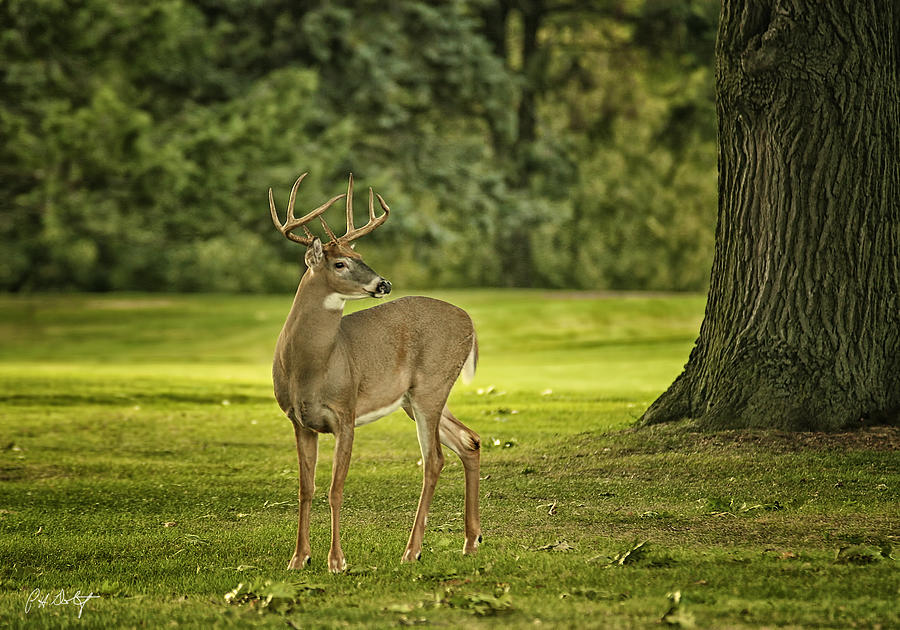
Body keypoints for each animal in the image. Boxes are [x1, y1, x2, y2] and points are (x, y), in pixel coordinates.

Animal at [268, 172, 482, 573]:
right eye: (340, 263)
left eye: (360, 256)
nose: (384, 284)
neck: (311, 369)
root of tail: (471, 323)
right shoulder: (299, 422)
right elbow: (306, 489)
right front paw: (299, 558)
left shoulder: (345, 412)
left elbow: (336, 489)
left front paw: (336, 561)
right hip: (415, 398)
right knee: (469, 440)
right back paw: (471, 541)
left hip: (432, 386)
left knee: (435, 460)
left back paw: (412, 550)